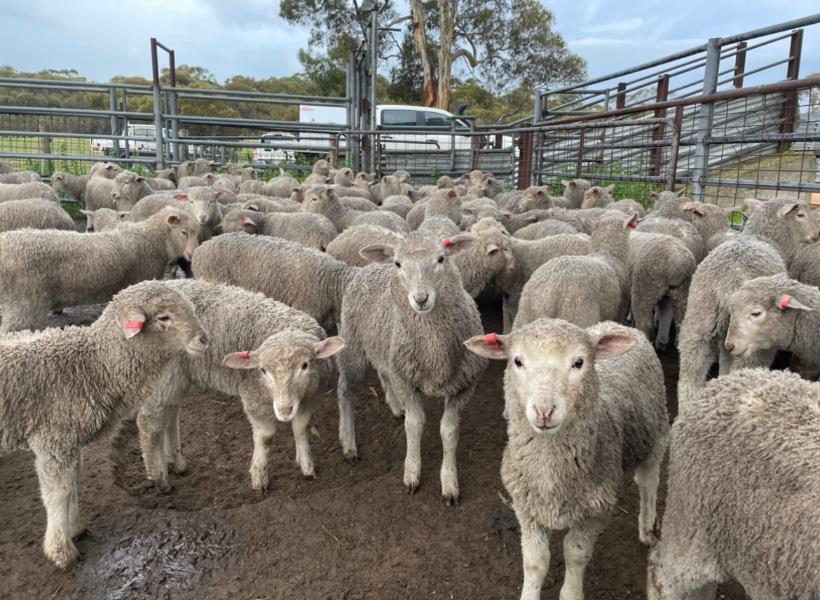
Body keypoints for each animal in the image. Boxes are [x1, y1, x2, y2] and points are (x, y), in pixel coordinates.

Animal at [0, 280, 208, 567]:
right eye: (164, 317)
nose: (204, 339)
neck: (93, 364)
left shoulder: (70, 442)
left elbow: (74, 481)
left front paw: (74, 528)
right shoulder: (53, 440)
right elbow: (60, 491)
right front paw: (61, 551)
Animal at [135, 279, 342, 492]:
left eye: (305, 365)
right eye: (263, 370)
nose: (284, 411)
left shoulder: (311, 397)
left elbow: (301, 428)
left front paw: (306, 465)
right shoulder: (254, 395)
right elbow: (266, 437)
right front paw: (259, 477)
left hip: (179, 377)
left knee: (170, 413)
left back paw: (176, 462)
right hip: (162, 377)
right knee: (149, 423)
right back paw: (159, 477)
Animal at [337, 233, 487, 503]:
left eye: (441, 259)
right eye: (398, 263)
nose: (420, 299)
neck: (434, 352)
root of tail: (366, 267)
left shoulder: (464, 385)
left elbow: (449, 431)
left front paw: (449, 482)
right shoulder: (406, 382)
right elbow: (415, 425)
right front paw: (412, 473)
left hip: (385, 348)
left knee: (383, 372)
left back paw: (396, 407)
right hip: (353, 348)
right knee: (345, 392)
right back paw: (349, 444)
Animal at [465, 318, 668, 600]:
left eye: (579, 362)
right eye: (517, 361)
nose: (543, 411)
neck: (551, 472)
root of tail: (618, 325)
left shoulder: (596, 510)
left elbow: (575, 554)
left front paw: (571, 592)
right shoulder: (527, 508)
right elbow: (535, 562)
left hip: (657, 428)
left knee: (649, 480)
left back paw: (648, 528)